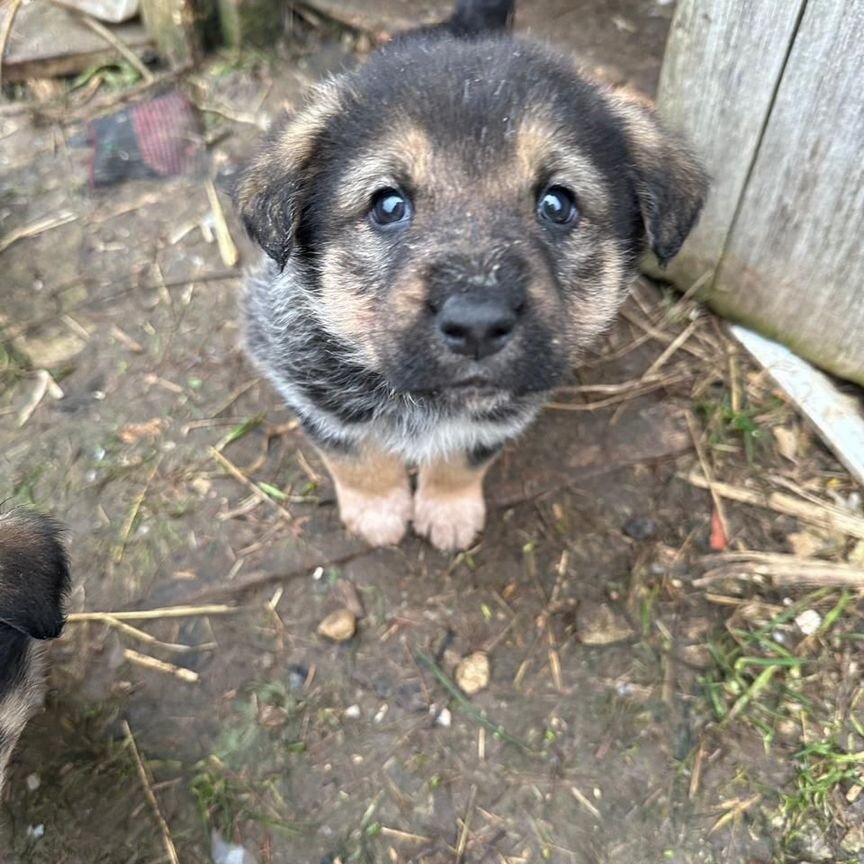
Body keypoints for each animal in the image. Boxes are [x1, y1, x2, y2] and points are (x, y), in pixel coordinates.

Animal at [235, 0, 704, 552]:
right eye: (388, 205)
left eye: (557, 205)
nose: (477, 324)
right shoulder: (311, 391)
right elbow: (354, 455)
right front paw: (377, 510)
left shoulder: (501, 413)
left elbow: (463, 457)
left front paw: (448, 509)